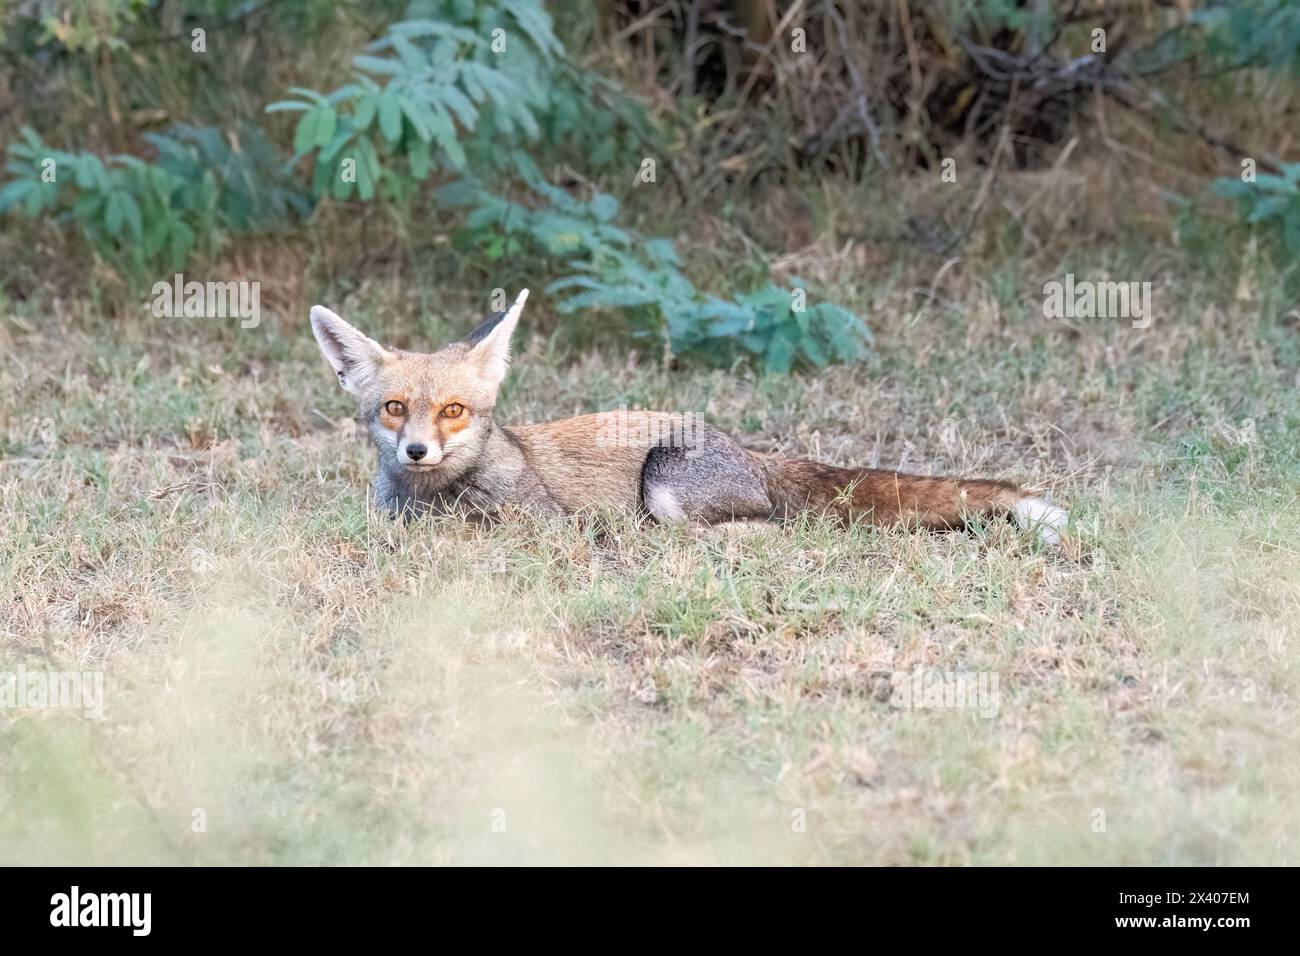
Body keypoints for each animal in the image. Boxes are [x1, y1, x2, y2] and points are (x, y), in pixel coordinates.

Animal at [309, 290, 1067, 544]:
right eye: (395, 408)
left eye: (454, 411)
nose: (415, 452)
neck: (431, 499)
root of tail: (746, 448)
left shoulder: (542, 525)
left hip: (664, 486)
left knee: (768, 531)